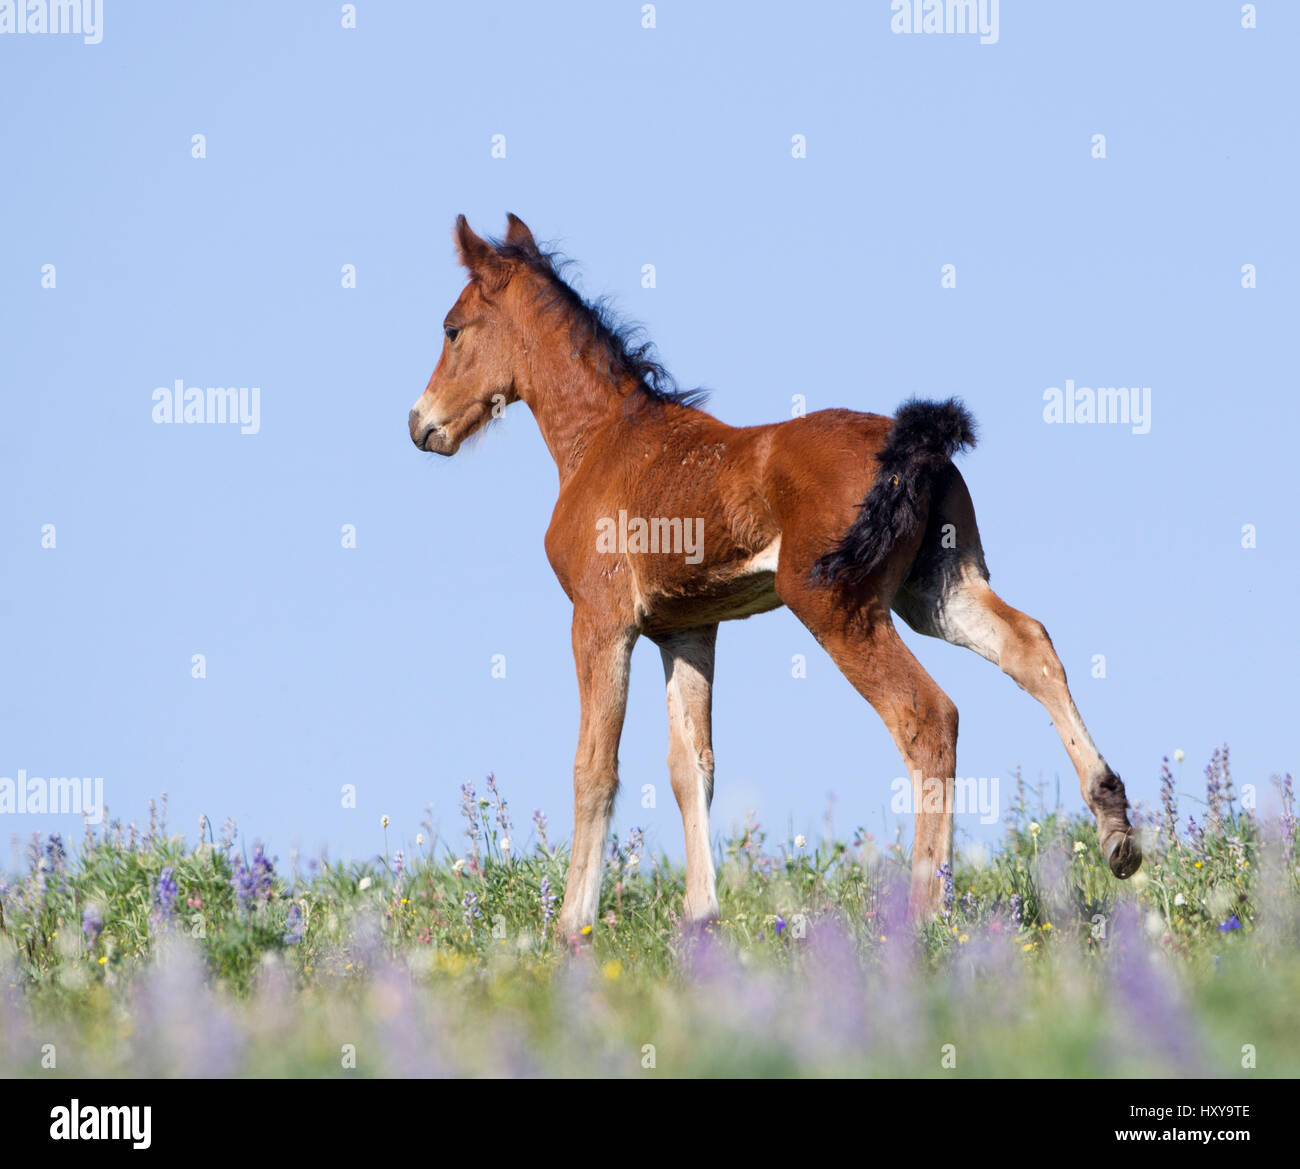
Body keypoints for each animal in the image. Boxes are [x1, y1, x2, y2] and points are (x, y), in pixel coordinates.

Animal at [409, 213, 1141, 938]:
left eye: (452, 328)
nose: (421, 423)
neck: (602, 439)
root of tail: (919, 444)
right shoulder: (687, 628)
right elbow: (691, 768)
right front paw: (701, 917)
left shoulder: (600, 617)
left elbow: (595, 768)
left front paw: (571, 927)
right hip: (937, 590)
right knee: (1030, 645)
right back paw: (1115, 827)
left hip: (836, 604)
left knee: (928, 715)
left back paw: (925, 911)